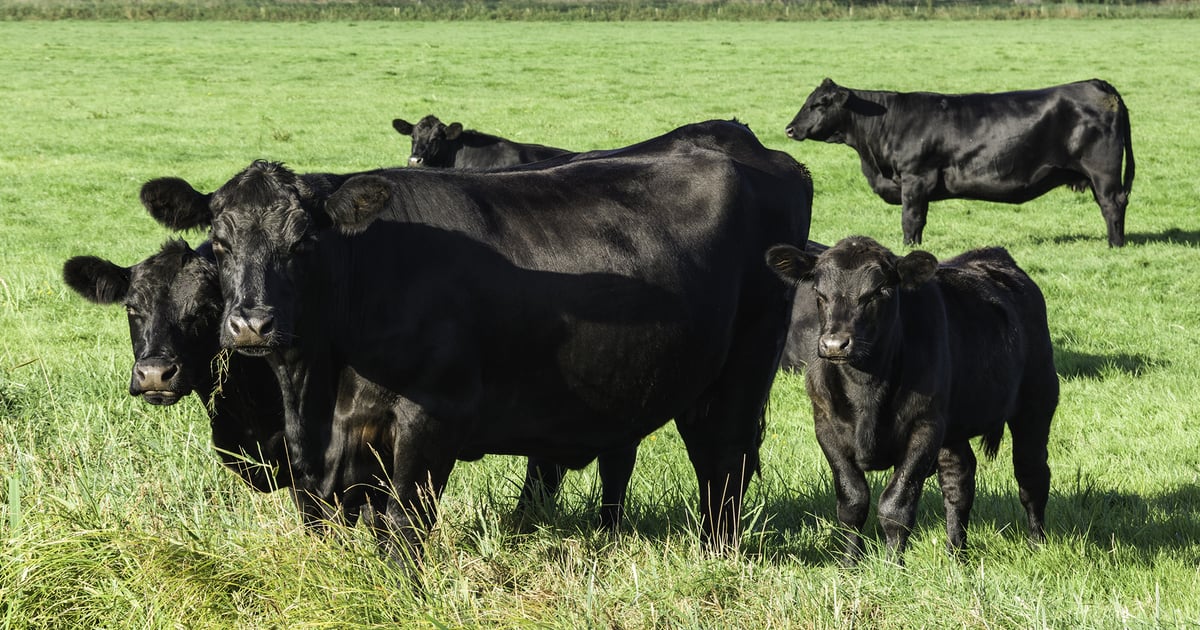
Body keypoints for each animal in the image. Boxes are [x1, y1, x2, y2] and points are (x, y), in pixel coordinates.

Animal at [139, 120, 813, 567]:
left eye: (304, 242)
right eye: (220, 243)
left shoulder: (431, 417)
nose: (252, 324)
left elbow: (404, 525)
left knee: (722, 462)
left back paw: (715, 557)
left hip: (741, 369)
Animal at [765, 236, 1057, 566]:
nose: (835, 344)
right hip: (954, 428)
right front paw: (849, 565)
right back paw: (956, 555)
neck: (866, 390)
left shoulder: (923, 428)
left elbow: (895, 505)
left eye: (879, 291)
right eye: (818, 292)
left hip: (1037, 401)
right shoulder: (826, 426)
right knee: (959, 482)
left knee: (1031, 475)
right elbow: (853, 502)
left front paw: (893, 567)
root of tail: (994, 256)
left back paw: (1037, 546)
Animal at [785, 78, 1134, 247]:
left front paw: (908, 248)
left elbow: (911, 219)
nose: (789, 129)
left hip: (1103, 173)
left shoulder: (916, 178)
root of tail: (1097, 84)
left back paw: (1115, 245)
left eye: (819, 103)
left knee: (1112, 204)